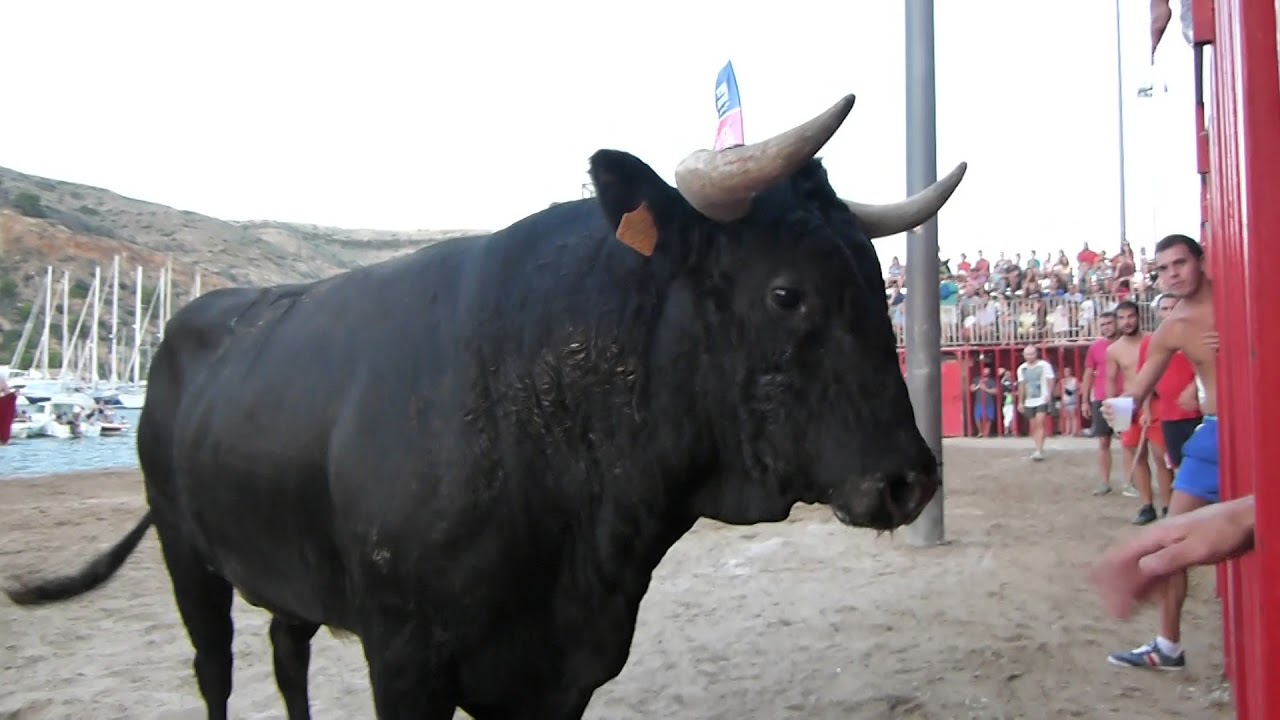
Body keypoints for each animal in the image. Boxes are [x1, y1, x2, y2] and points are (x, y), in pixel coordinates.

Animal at [4, 93, 965, 720]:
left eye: (874, 277)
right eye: (785, 293)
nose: (911, 480)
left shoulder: (561, 673)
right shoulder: (406, 659)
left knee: (286, 651)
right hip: (186, 551)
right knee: (216, 669)